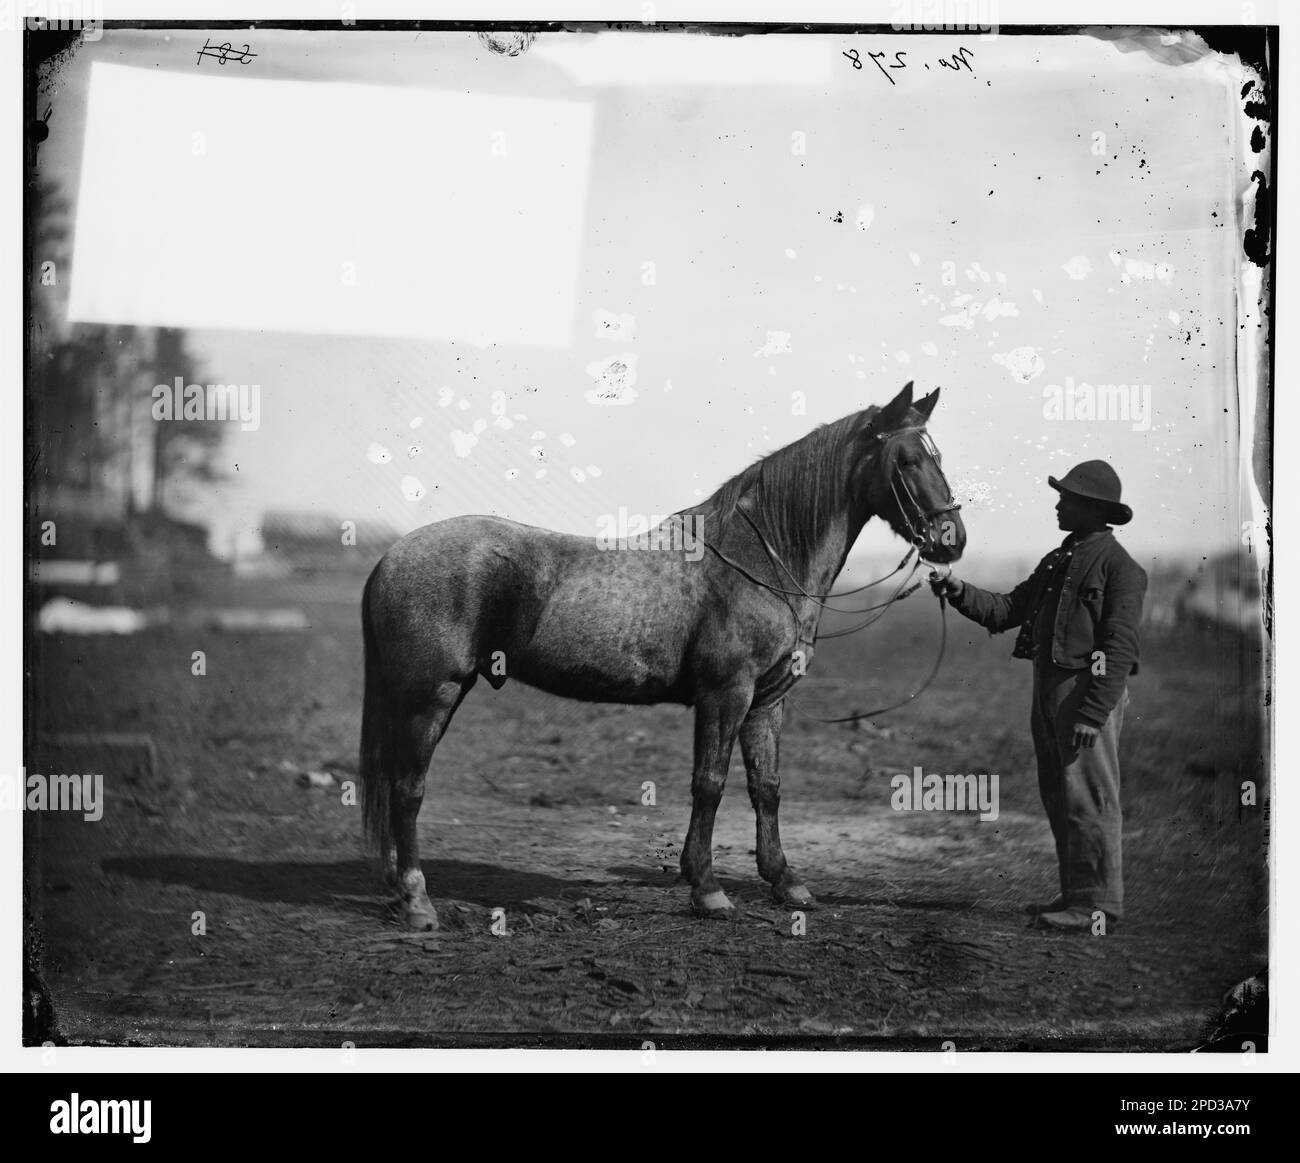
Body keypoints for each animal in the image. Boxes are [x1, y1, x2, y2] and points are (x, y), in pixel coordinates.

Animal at [359, 381, 966, 929]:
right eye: (906, 460)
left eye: (937, 455)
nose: (951, 537)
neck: (760, 560)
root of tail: (391, 557)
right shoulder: (726, 695)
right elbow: (710, 784)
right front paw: (708, 890)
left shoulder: (767, 702)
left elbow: (766, 788)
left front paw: (786, 883)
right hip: (430, 695)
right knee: (408, 789)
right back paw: (417, 902)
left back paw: (397, 890)